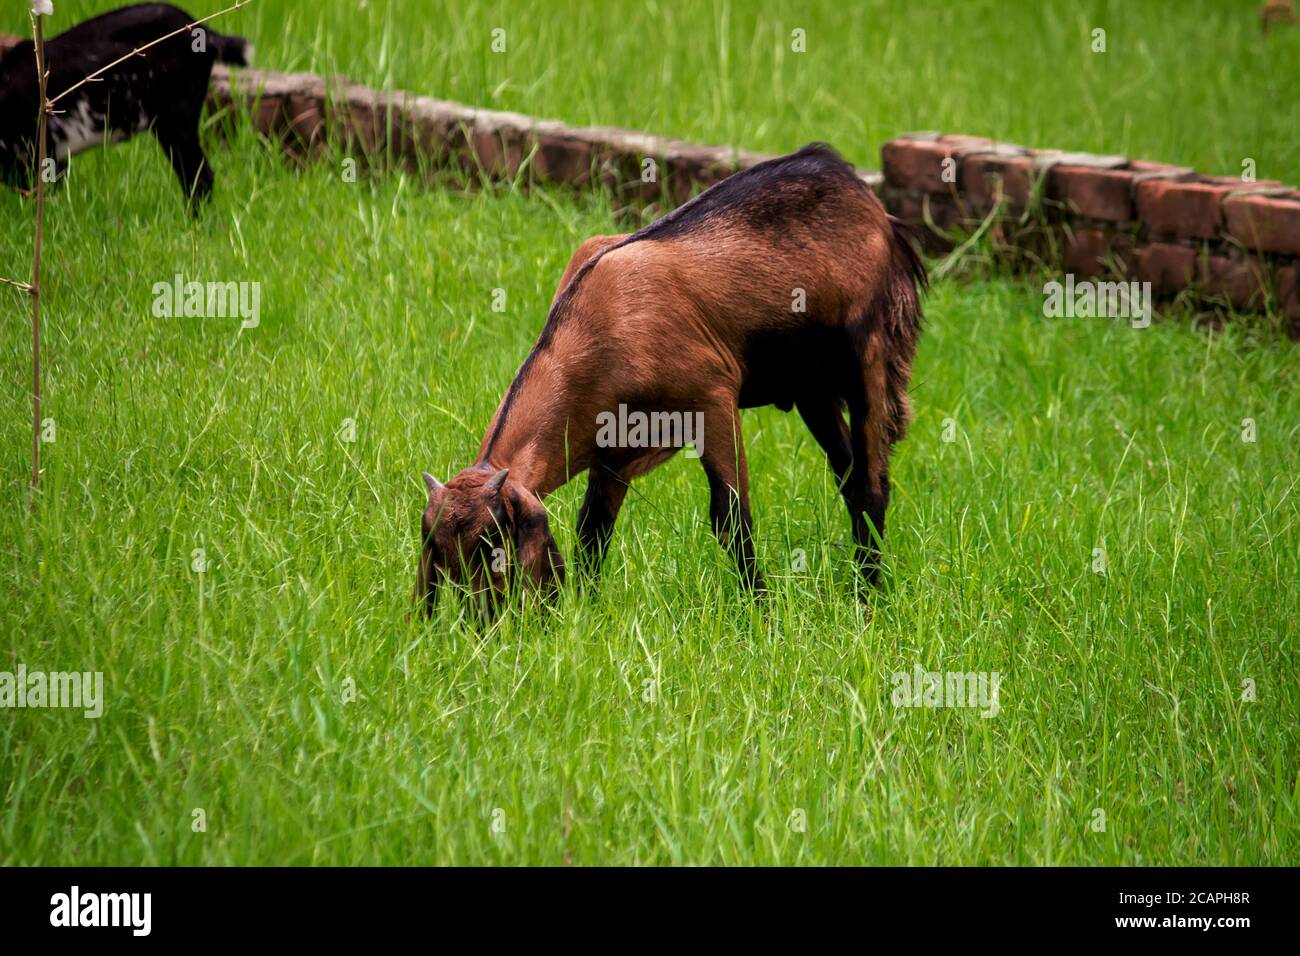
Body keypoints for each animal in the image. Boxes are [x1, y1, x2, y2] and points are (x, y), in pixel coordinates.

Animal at [416, 143, 926, 614]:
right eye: (436, 548)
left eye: (492, 544)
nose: (476, 622)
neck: (599, 320)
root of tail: (855, 186)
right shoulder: (612, 446)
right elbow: (593, 527)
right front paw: (587, 609)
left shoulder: (712, 401)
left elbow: (731, 519)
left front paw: (760, 612)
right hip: (811, 389)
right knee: (849, 477)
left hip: (869, 355)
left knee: (871, 484)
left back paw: (868, 597)